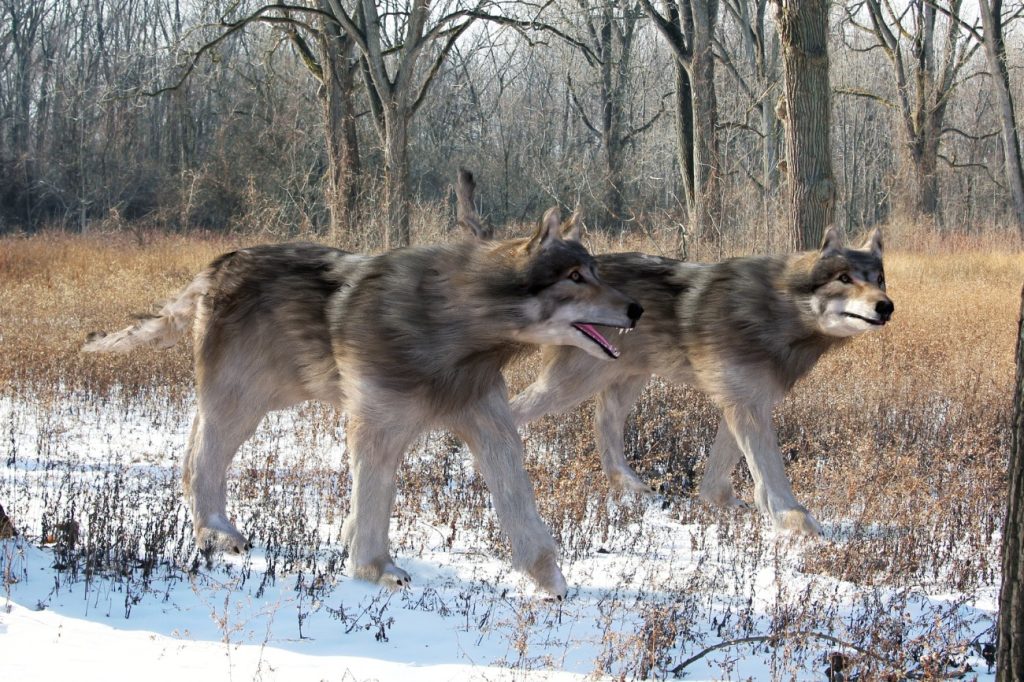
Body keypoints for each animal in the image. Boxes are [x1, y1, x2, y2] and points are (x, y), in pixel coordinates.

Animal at [83, 171, 643, 598]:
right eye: (574, 277)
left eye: (596, 271)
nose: (637, 308)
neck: (455, 327)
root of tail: (216, 266)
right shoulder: (374, 430)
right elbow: (374, 502)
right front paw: (374, 569)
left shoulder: (493, 429)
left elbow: (519, 505)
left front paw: (550, 580)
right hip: (241, 405)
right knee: (206, 458)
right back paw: (214, 533)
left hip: (258, 400)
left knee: (194, 443)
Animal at [511, 228, 893, 535]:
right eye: (844, 278)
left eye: (879, 279)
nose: (886, 306)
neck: (777, 311)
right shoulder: (746, 405)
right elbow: (771, 471)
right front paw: (795, 521)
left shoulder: (744, 401)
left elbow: (722, 470)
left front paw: (724, 505)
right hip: (571, 386)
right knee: (515, 409)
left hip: (627, 380)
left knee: (603, 423)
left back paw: (631, 488)